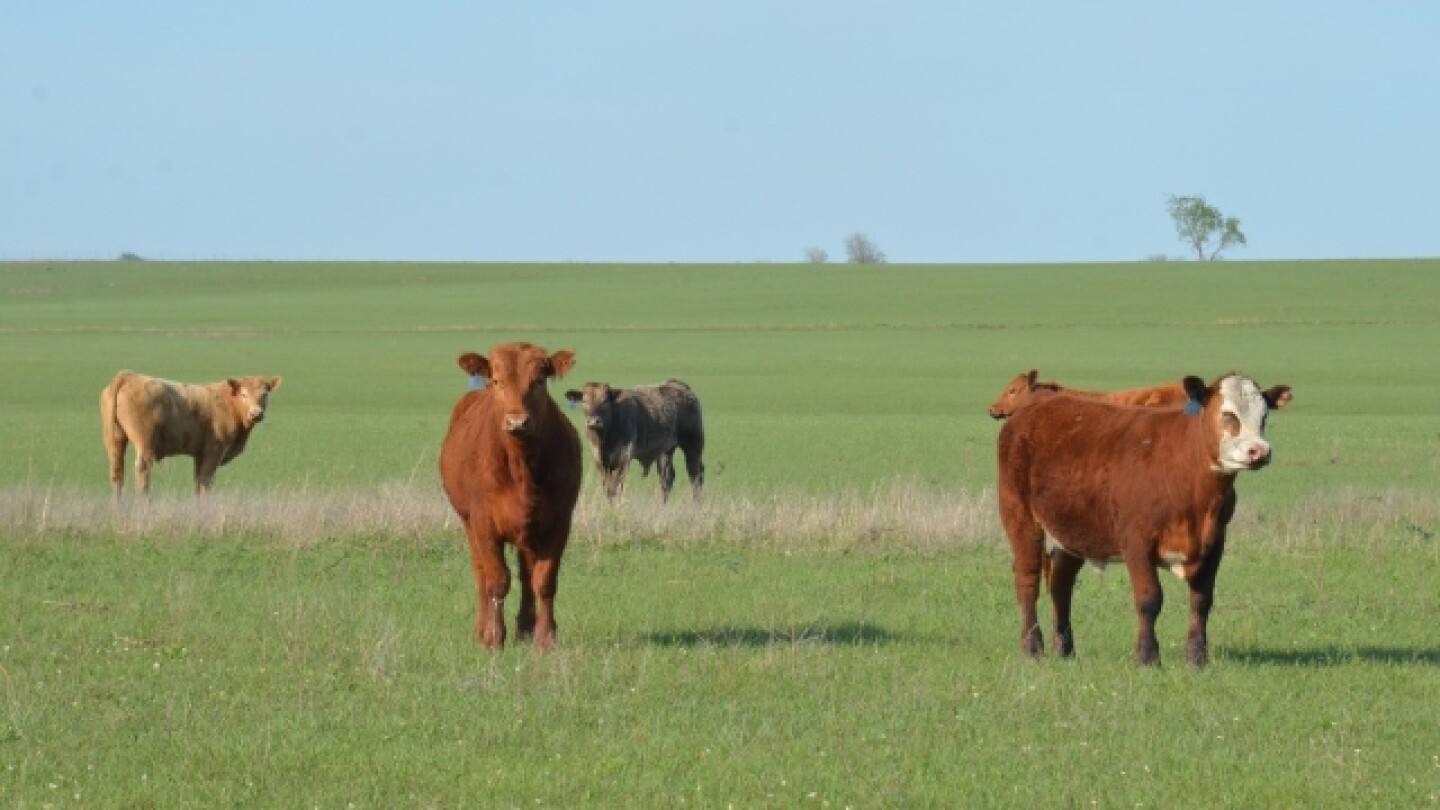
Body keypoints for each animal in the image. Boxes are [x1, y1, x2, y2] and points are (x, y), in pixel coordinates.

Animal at [99, 371, 283, 499]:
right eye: (244, 394)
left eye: (265, 394)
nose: (256, 413)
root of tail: (128, 376)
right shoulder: (214, 451)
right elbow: (206, 481)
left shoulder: (199, 454)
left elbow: (197, 481)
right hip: (145, 444)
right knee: (142, 470)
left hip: (114, 440)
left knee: (117, 473)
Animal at [438, 342, 582, 651]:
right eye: (497, 380)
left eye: (539, 380)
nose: (518, 421)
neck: (521, 467)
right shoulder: (483, 523)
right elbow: (496, 580)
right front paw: (493, 637)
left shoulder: (559, 520)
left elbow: (544, 581)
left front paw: (546, 638)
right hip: (468, 523)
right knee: (481, 573)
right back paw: (482, 630)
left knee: (527, 576)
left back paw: (526, 628)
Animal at [562, 379, 705, 504]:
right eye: (584, 401)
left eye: (605, 401)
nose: (593, 421)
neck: (605, 440)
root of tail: (677, 384)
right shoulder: (600, 461)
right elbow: (608, 489)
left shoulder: (623, 458)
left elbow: (616, 487)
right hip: (665, 452)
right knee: (667, 479)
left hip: (693, 446)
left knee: (696, 477)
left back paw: (696, 507)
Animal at [996, 373, 1292, 666]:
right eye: (1228, 414)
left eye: (1264, 416)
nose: (1260, 451)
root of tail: (1035, 405)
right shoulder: (1136, 542)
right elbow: (1150, 599)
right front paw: (1148, 656)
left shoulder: (1215, 542)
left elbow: (1202, 600)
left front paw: (1197, 657)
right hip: (1020, 516)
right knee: (1028, 579)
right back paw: (1032, 647)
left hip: (1073, 528)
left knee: (1060, 583)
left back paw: (1064, 648)